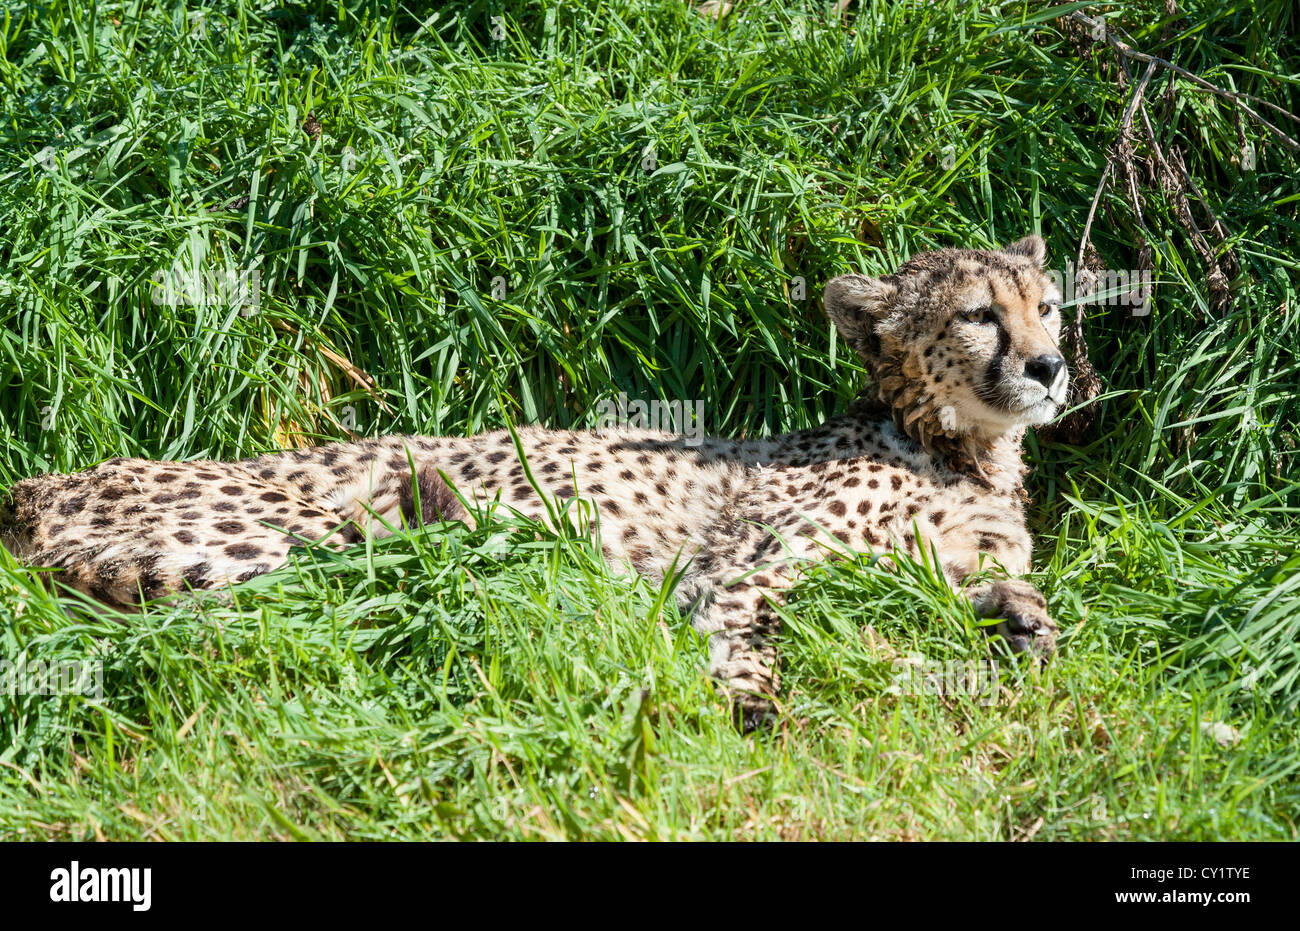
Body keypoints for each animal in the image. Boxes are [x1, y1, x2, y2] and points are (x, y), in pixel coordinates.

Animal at [1, 235, 1068, 730]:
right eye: (978, 314)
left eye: (1049, 305)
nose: (1052, 367)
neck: (960, 448)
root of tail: (30, 488)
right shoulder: (740, 566)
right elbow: (745, 635)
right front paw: (756, 710)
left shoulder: (936, 556)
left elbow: (997, 587)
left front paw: (1025, 622)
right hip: (313, 537)